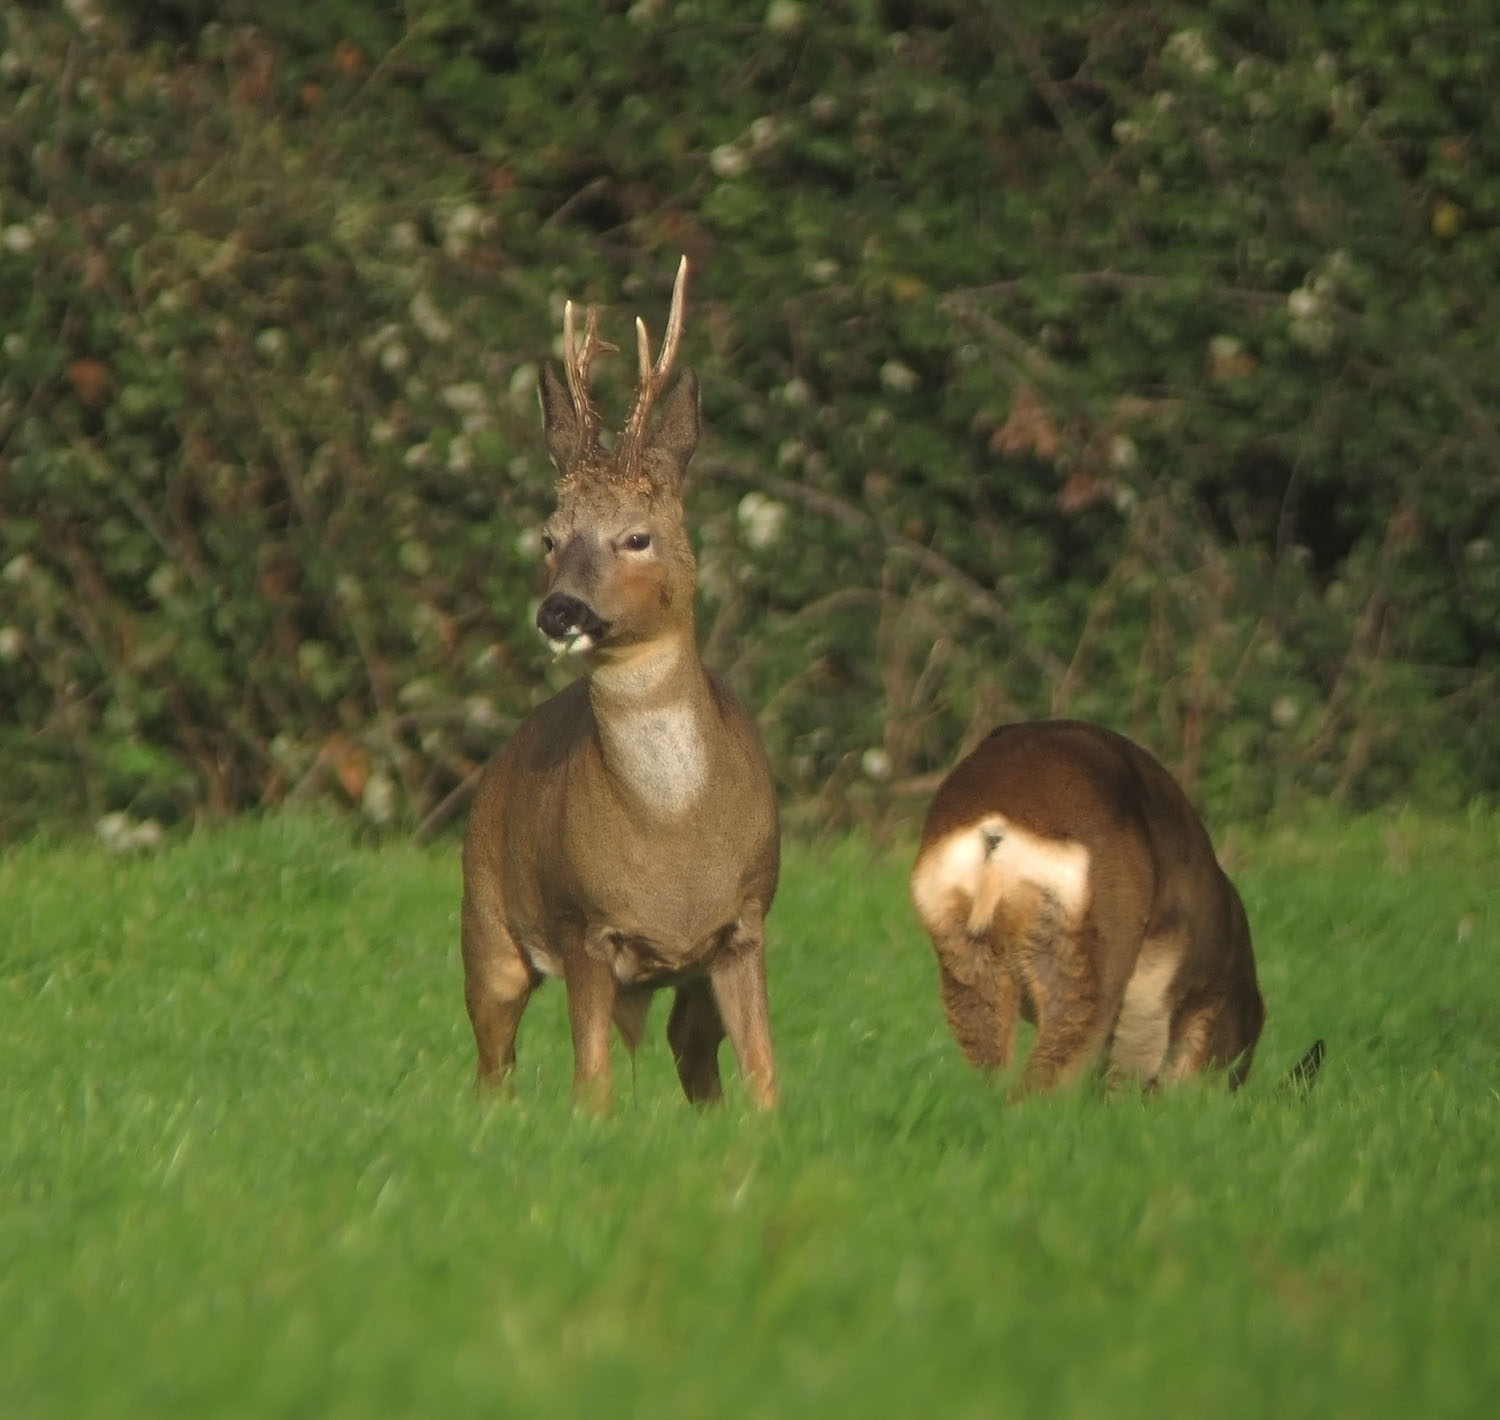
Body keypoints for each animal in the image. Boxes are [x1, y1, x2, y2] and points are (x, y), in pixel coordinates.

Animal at [461, 257, 780, 1112]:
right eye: (548, 537)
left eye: (637, 537)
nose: (559, 611)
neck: (671, 841)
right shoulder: (584, 929)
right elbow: (592, 1081)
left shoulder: (743, 924)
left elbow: (765, 1075)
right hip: (485, 915)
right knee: (492, 1062)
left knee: (691, 1051)